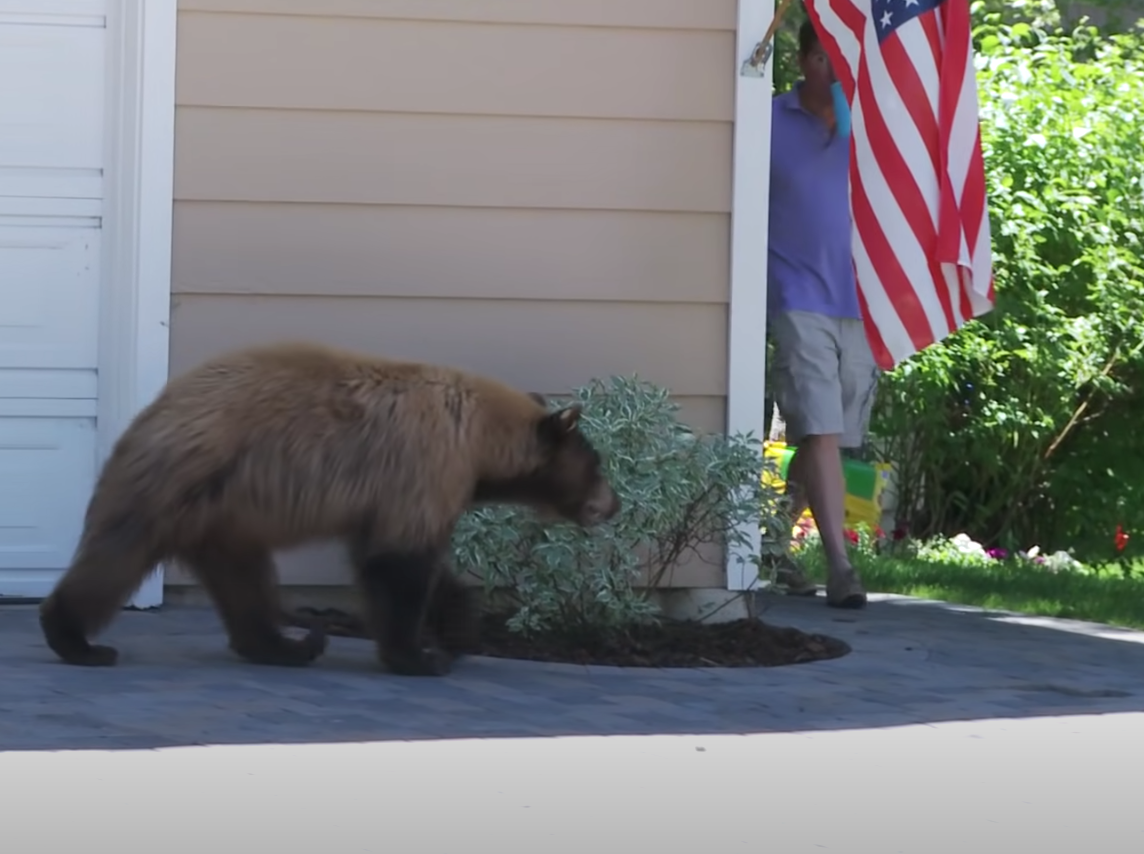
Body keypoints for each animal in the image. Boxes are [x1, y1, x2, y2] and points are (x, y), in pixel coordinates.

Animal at [38, 341, 621, 676]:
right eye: (598, 463)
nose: (613, 505)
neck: (477, 435)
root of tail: (153, 409)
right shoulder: (425, 466)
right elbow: (399, 562)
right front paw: (418, 656)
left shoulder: (397, 492)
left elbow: (406, 560)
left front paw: (455, 631)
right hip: (179, 482)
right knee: (117, 556)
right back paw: (76, 640)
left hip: (224, 516)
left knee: (242, 578)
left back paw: (285, 645)